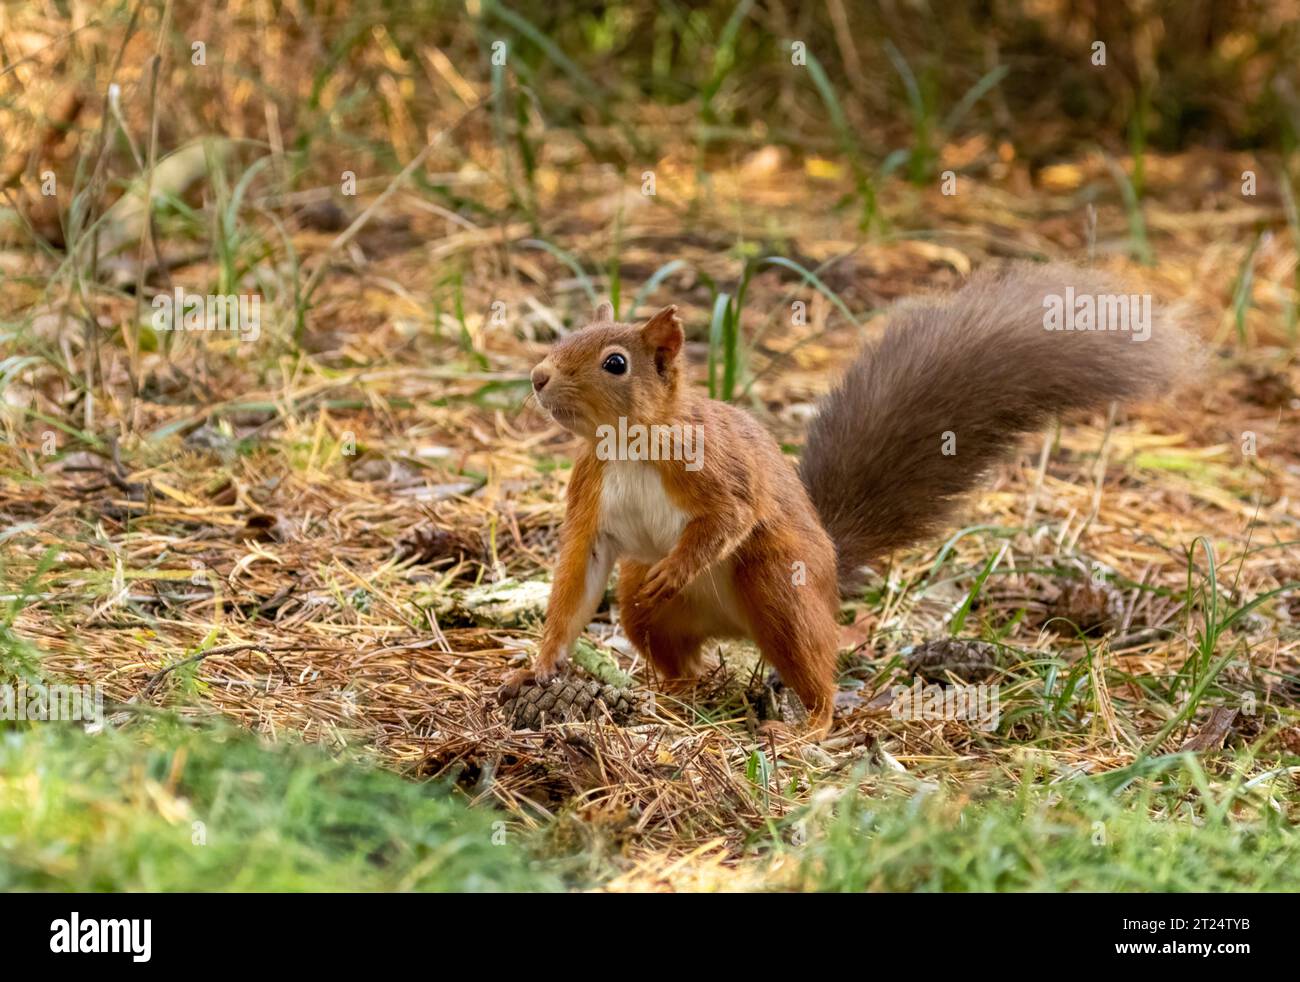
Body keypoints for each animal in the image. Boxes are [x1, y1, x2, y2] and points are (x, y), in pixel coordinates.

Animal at [499, 262, 1188, 738]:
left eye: (615, 362)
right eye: (566, 335)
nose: (538, 376)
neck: (627, 445)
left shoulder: (714, 469)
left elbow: (730, 516)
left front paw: (681, 565)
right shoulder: (591, 495)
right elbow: (576, 584)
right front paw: (539, 669)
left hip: (779, 582)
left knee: (812, 669)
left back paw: (808, 727)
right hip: (647, 608)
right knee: (675, 652)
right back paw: (673, 694)